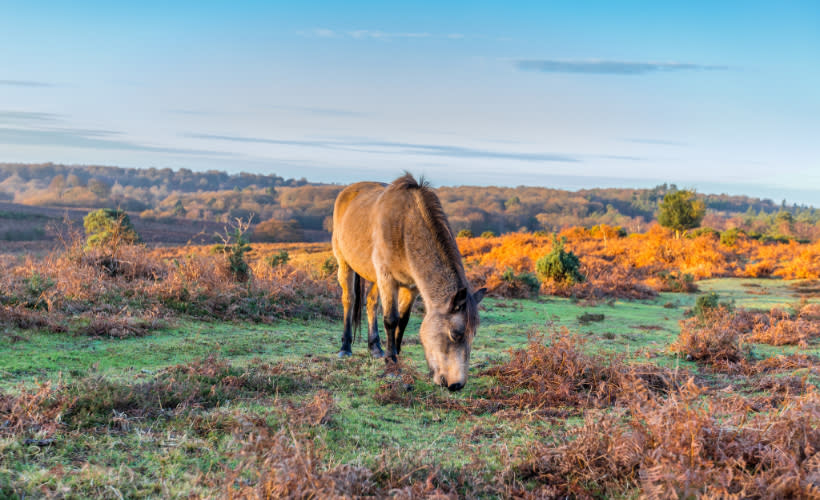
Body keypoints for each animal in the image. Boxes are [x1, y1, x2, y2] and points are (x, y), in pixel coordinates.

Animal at [331, 174, 486, 391]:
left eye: (473, 335)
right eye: (455, 334)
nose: (456, 385)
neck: (405, 227)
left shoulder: (411, 287)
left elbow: (403, 320)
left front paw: (395, 352)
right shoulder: (388, 278)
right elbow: (391, 319)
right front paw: (392, 363)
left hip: (375, 278)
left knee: (371, 304)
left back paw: (375, 347)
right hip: (345, 264)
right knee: (349, 300)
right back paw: (345, 347)